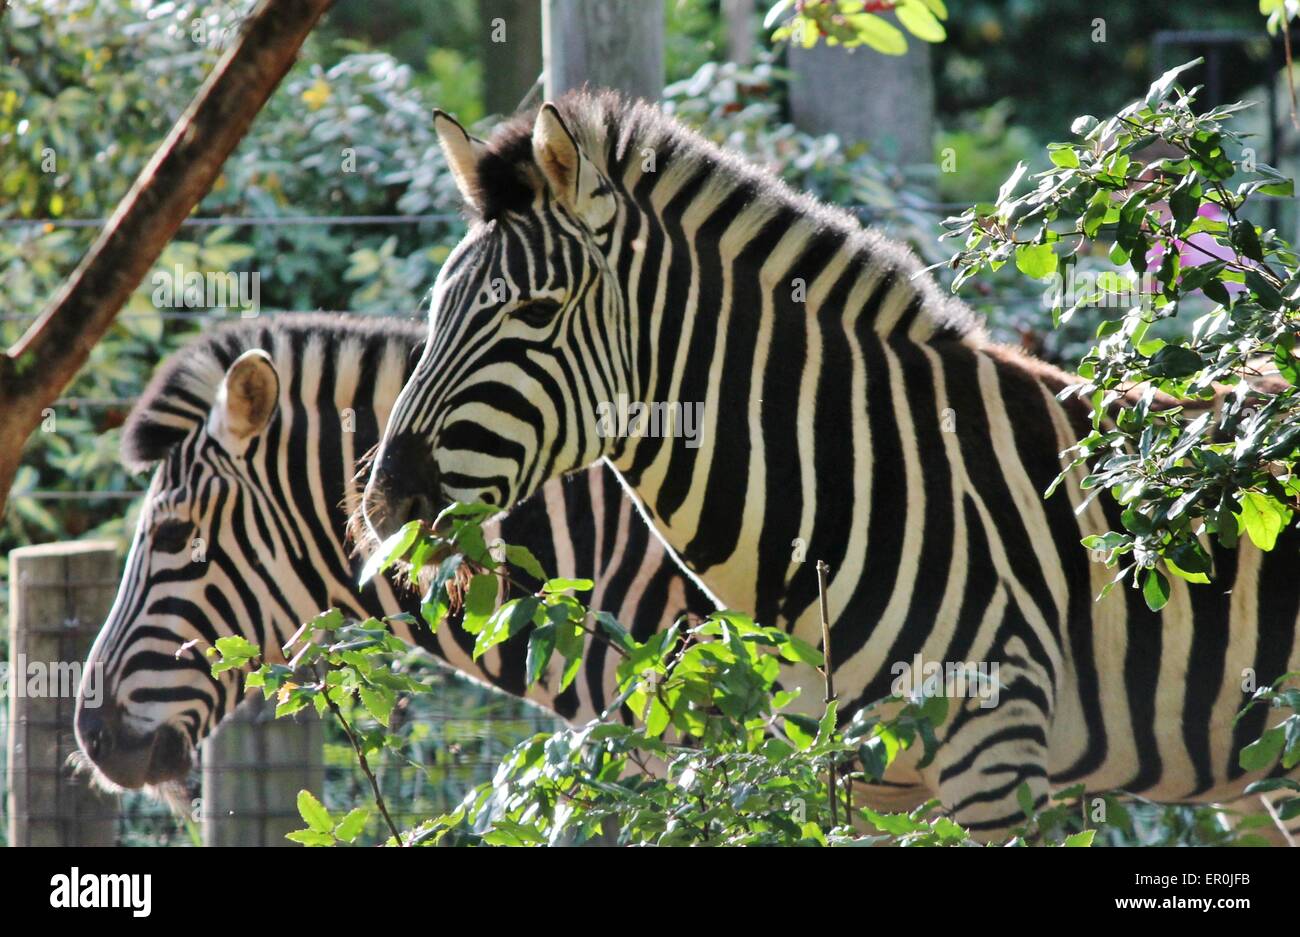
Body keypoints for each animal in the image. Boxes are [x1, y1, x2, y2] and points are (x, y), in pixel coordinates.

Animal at [360, 90, 1300, 837]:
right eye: (434, 308)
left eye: (536, 311)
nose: (384, 501)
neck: (840, 490)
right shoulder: (861, 774)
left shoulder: (996, 759)